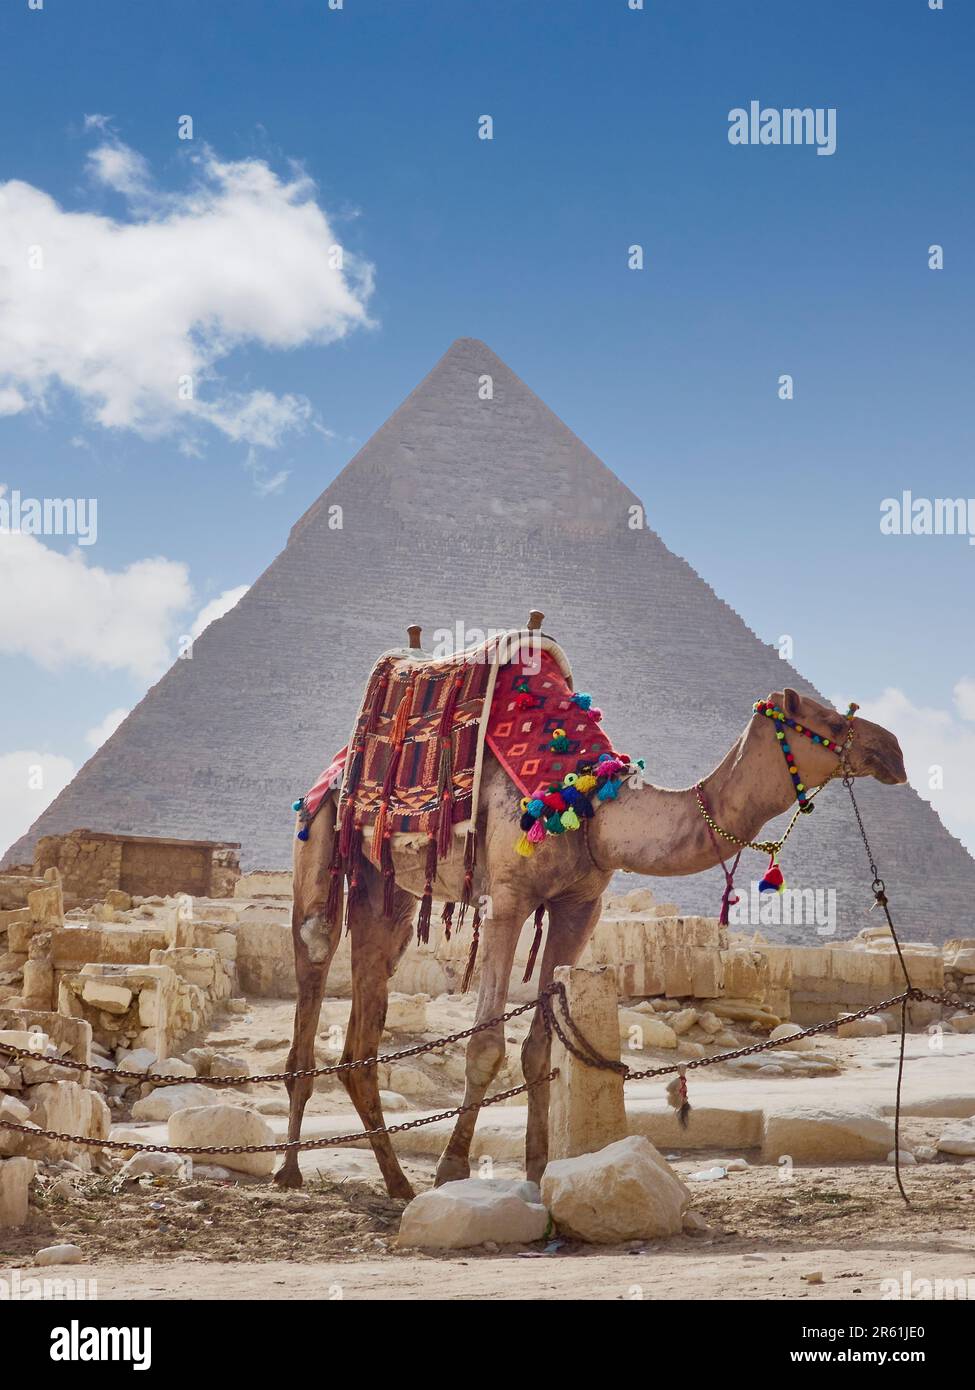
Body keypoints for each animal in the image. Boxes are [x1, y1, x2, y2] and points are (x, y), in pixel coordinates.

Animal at [274, 660, 906, 1200]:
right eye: (829, 721)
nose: (893, 750)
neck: (591, 806)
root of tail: (333, 769)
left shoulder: (579, 907)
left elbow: (538, 1048)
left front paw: (539, 1170)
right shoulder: (507, 900)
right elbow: (485, 1045)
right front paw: (452, 1171)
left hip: (389, 894)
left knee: (363, 1027)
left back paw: (397, 1182)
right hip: (319, 838)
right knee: (314, 954)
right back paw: (290, 1170)